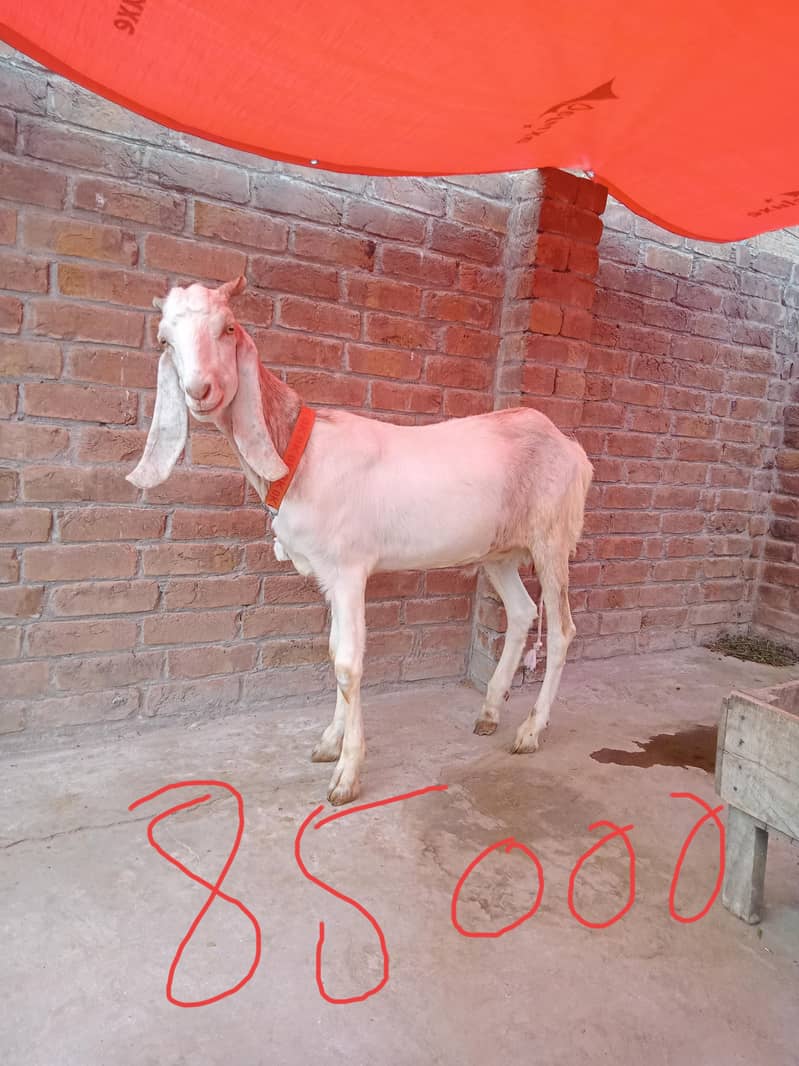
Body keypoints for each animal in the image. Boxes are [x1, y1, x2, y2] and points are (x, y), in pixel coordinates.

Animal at [128, 277, 594, 805]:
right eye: (165, 340)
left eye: (228, 328)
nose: (199, 391)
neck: (300, 455)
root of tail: (571, 447)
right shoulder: (329, 577)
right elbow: (333, 653)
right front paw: (329, 743)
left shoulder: (350, 569)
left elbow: (349, 663)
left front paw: (346, 776)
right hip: (497, 550)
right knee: (521, 611)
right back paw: (490, 711)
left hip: (551, 539)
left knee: (562, 629)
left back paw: (531, 731)